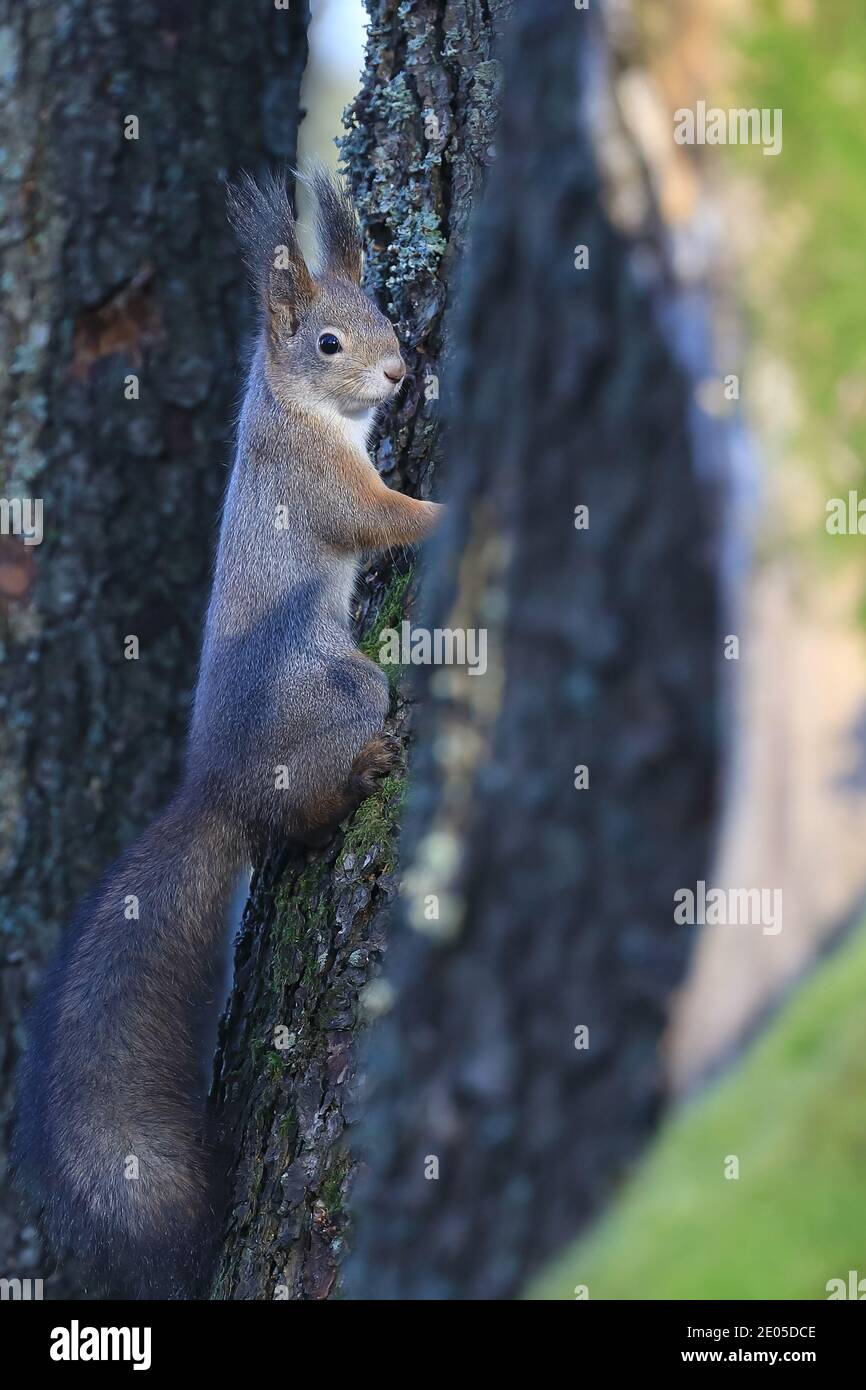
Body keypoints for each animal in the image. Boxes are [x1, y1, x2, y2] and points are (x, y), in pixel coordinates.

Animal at [12, 167, 441, 1299]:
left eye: (382, 314)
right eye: (326, 342)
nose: (399, 369)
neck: (295, 411)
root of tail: (216, 786)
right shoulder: (321, 488)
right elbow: (385, 518)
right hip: (340, 687)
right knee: (307, 808)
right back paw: (366, 769)